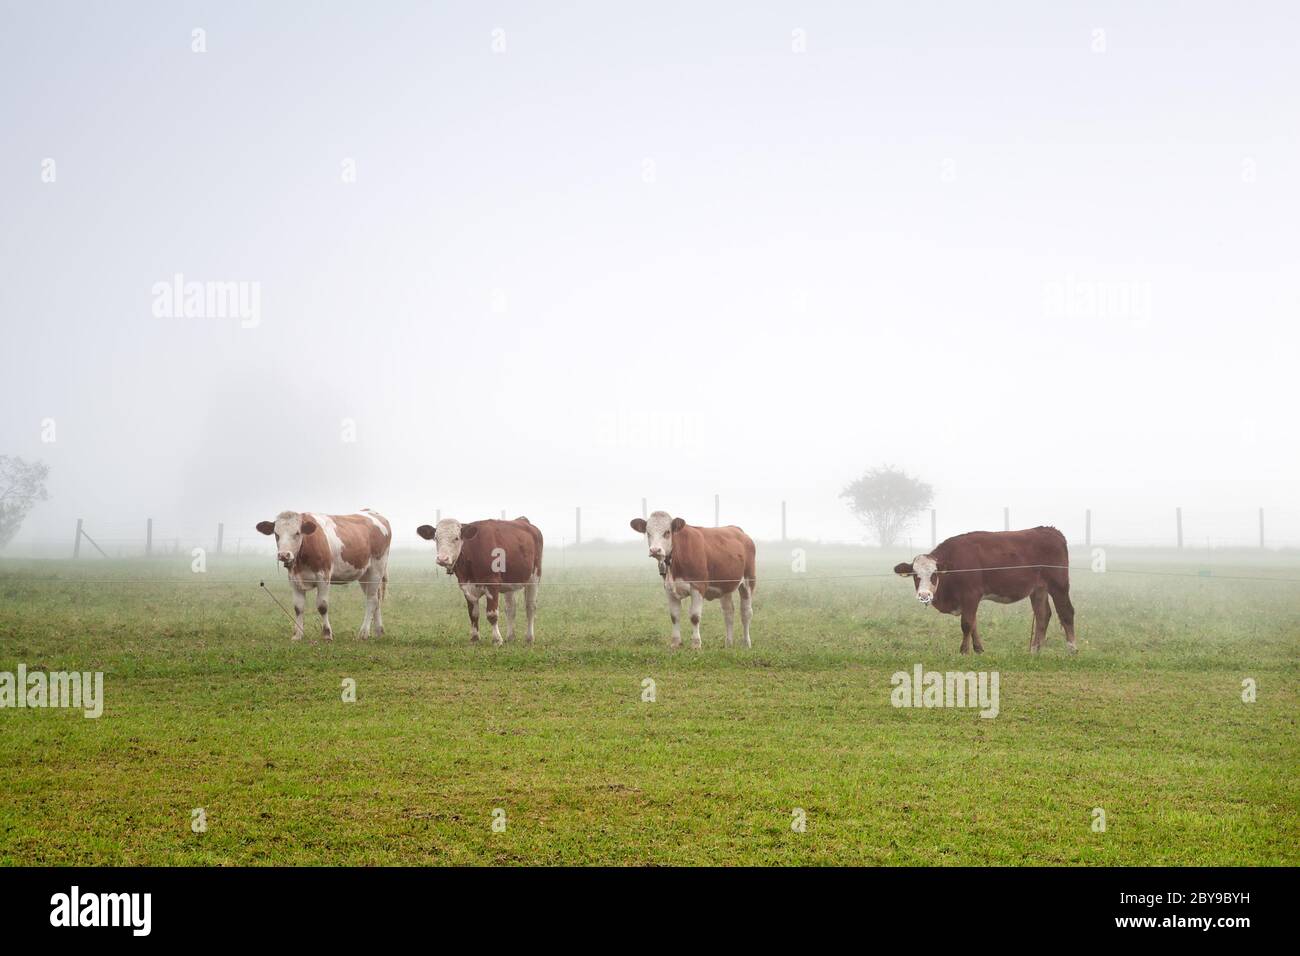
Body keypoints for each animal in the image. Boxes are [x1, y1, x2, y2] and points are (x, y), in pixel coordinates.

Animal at [255, 509, 391, 641]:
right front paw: (297, 635)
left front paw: (327, 634)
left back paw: (364, 633)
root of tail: (374, 513)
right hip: (364, 575)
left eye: (297, 533)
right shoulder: (293, 579)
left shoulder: (323, 577)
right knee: (376, 600)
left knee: (372, 600)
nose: (284, 555)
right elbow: (298, 607)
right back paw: (379, 631)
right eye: (276, 534)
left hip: (376, 569)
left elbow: (322, 606)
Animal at [416, 516, 542, 646]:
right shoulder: (466, 586)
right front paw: (474, 638)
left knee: (530, 608)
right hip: (510, 583)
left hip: (534, 577)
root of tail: (523, 520)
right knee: (511, 608)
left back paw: (529, 638)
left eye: (456, 538)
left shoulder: (492, 584)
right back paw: (510, 637)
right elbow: (473, 614)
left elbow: (492, 614)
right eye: (436, 538)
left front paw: (497, 640)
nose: (442, 559)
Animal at [630, 510, 756, 649]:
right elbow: (674, 616)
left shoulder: (698, 587)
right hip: (725, 586)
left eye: (667, 532)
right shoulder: (669, 589)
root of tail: (738, 530)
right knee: (728, 613)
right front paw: (675, 643)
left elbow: (695, 617)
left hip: (749, 581)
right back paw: (728, 643)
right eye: (648, 532)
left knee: (746, 613)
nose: (655, 550)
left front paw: (696, 644)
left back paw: (746, 643)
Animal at [894, 526, 1076, 655]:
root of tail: (1050, 530)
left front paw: (964, 651)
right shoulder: (968, 600)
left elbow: (967, 623)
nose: (924, 595)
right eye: (915, 575)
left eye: (934, 574)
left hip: (1059, 584)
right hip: (1038, 589)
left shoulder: (971, 594)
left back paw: (1072, 649)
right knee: (1042, 615)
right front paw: (978, 649)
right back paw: (1034, 651)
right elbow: (973, 622)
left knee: (1066, 612)